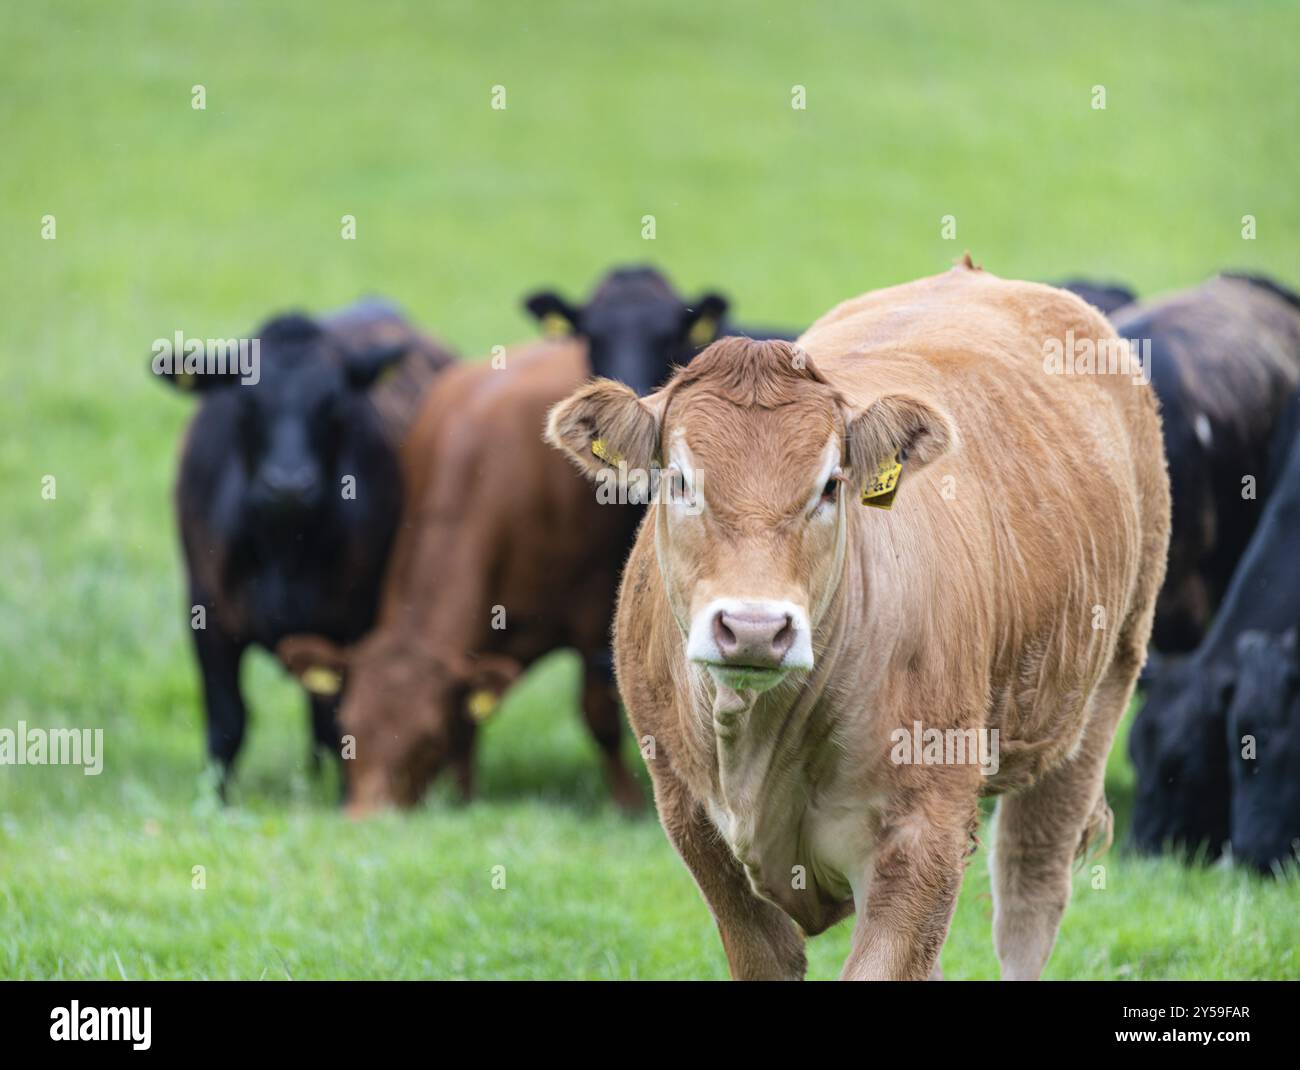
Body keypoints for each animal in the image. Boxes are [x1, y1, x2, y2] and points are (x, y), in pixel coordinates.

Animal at [153, 302, 453, 793]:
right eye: (247, 401)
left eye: (333, 402)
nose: (289, 485)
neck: (283, 547)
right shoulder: (206, 613)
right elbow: (227, 723)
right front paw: (216, 800)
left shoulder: (356, 622)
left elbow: (345, 722)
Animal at [278, 338, 643, 813]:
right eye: (347, 729)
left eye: (428, 740)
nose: (366, 817)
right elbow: (467, 731)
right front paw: (465, 800)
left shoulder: (591, 614)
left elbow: (600, 716)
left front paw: (629, 803)